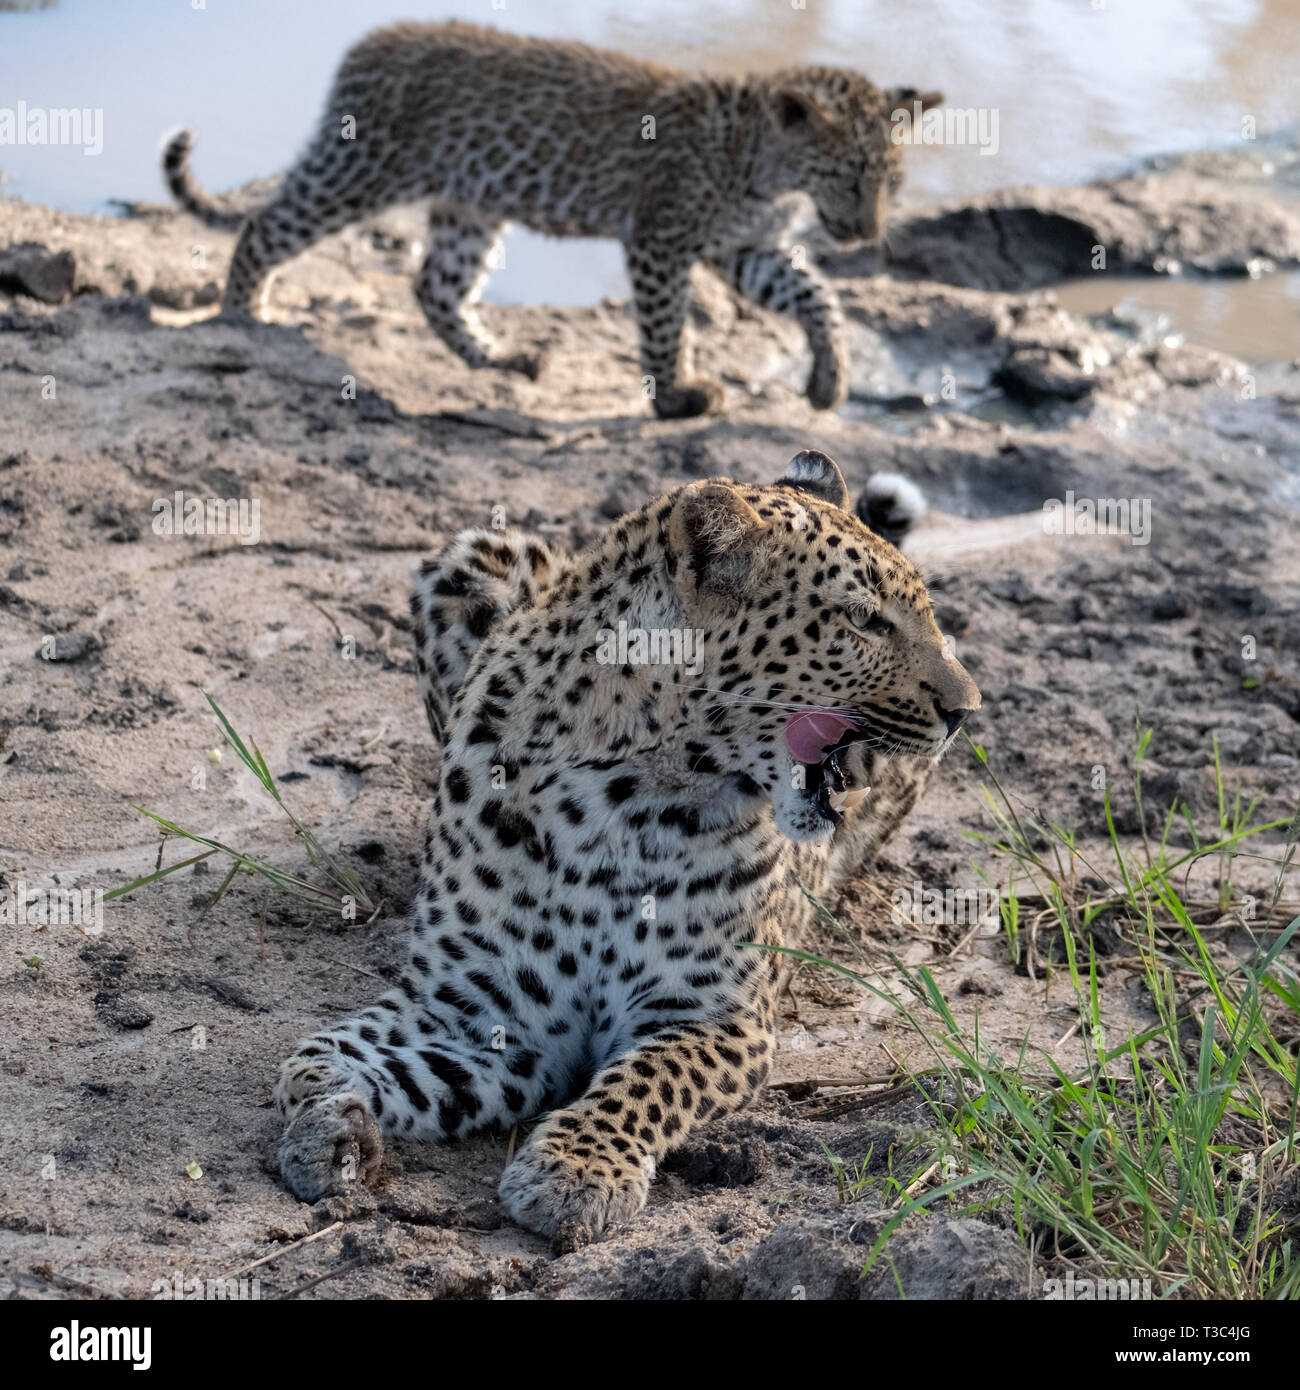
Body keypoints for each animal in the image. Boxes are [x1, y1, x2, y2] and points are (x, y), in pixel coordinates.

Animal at [162, 20, 942, 418]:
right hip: (361, 167)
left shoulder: (746, 249)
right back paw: (243, 313)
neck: (769, 168)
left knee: (435, 286)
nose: (867, 232)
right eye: (848, 177)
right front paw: (679, 395)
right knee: (266, 225)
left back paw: (501, 357)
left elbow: (818, 297)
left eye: (892, 181)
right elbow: (667, 324)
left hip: (470, 203)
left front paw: (829, 380)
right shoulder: (660, 240)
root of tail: (369, 42)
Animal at [274, 451, 980, 1246]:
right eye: (863, 620)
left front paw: (577, 1170)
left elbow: (647, 1081)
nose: (967, 709)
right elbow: (314, 1060)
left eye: (925, 616)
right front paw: (334, 1130)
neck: (615, 795)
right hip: (475, 559)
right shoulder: (480, 1015)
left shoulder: (711, 1016)